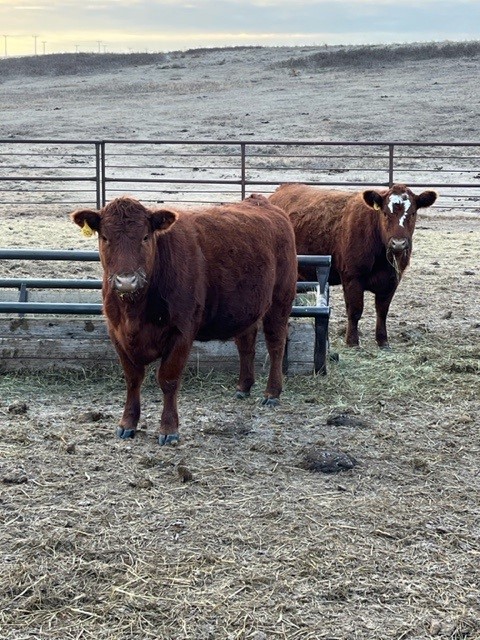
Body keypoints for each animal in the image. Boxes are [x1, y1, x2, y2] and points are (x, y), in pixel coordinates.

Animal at [71, 194, 297, 445]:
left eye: (145, 237)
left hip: (280, 300)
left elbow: (168, 380)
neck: (134, 311)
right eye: (105, 237)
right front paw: (127, 424)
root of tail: (261, 201)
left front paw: (169, 429)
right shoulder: (116, 333)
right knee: (246, 345)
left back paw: (272, 393)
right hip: (245, 308)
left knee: (276, 345)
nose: (127, 281)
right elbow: (132, 379)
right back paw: (243, 387)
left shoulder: (181, 332)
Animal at [269, 183, 437, 348]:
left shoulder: (392, 280)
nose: (398, 243)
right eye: (384, 213)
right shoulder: (352, 277)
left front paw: (383, 340)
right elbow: (355, 311)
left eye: (413, 213)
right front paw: (352, 341)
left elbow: (382, 311)